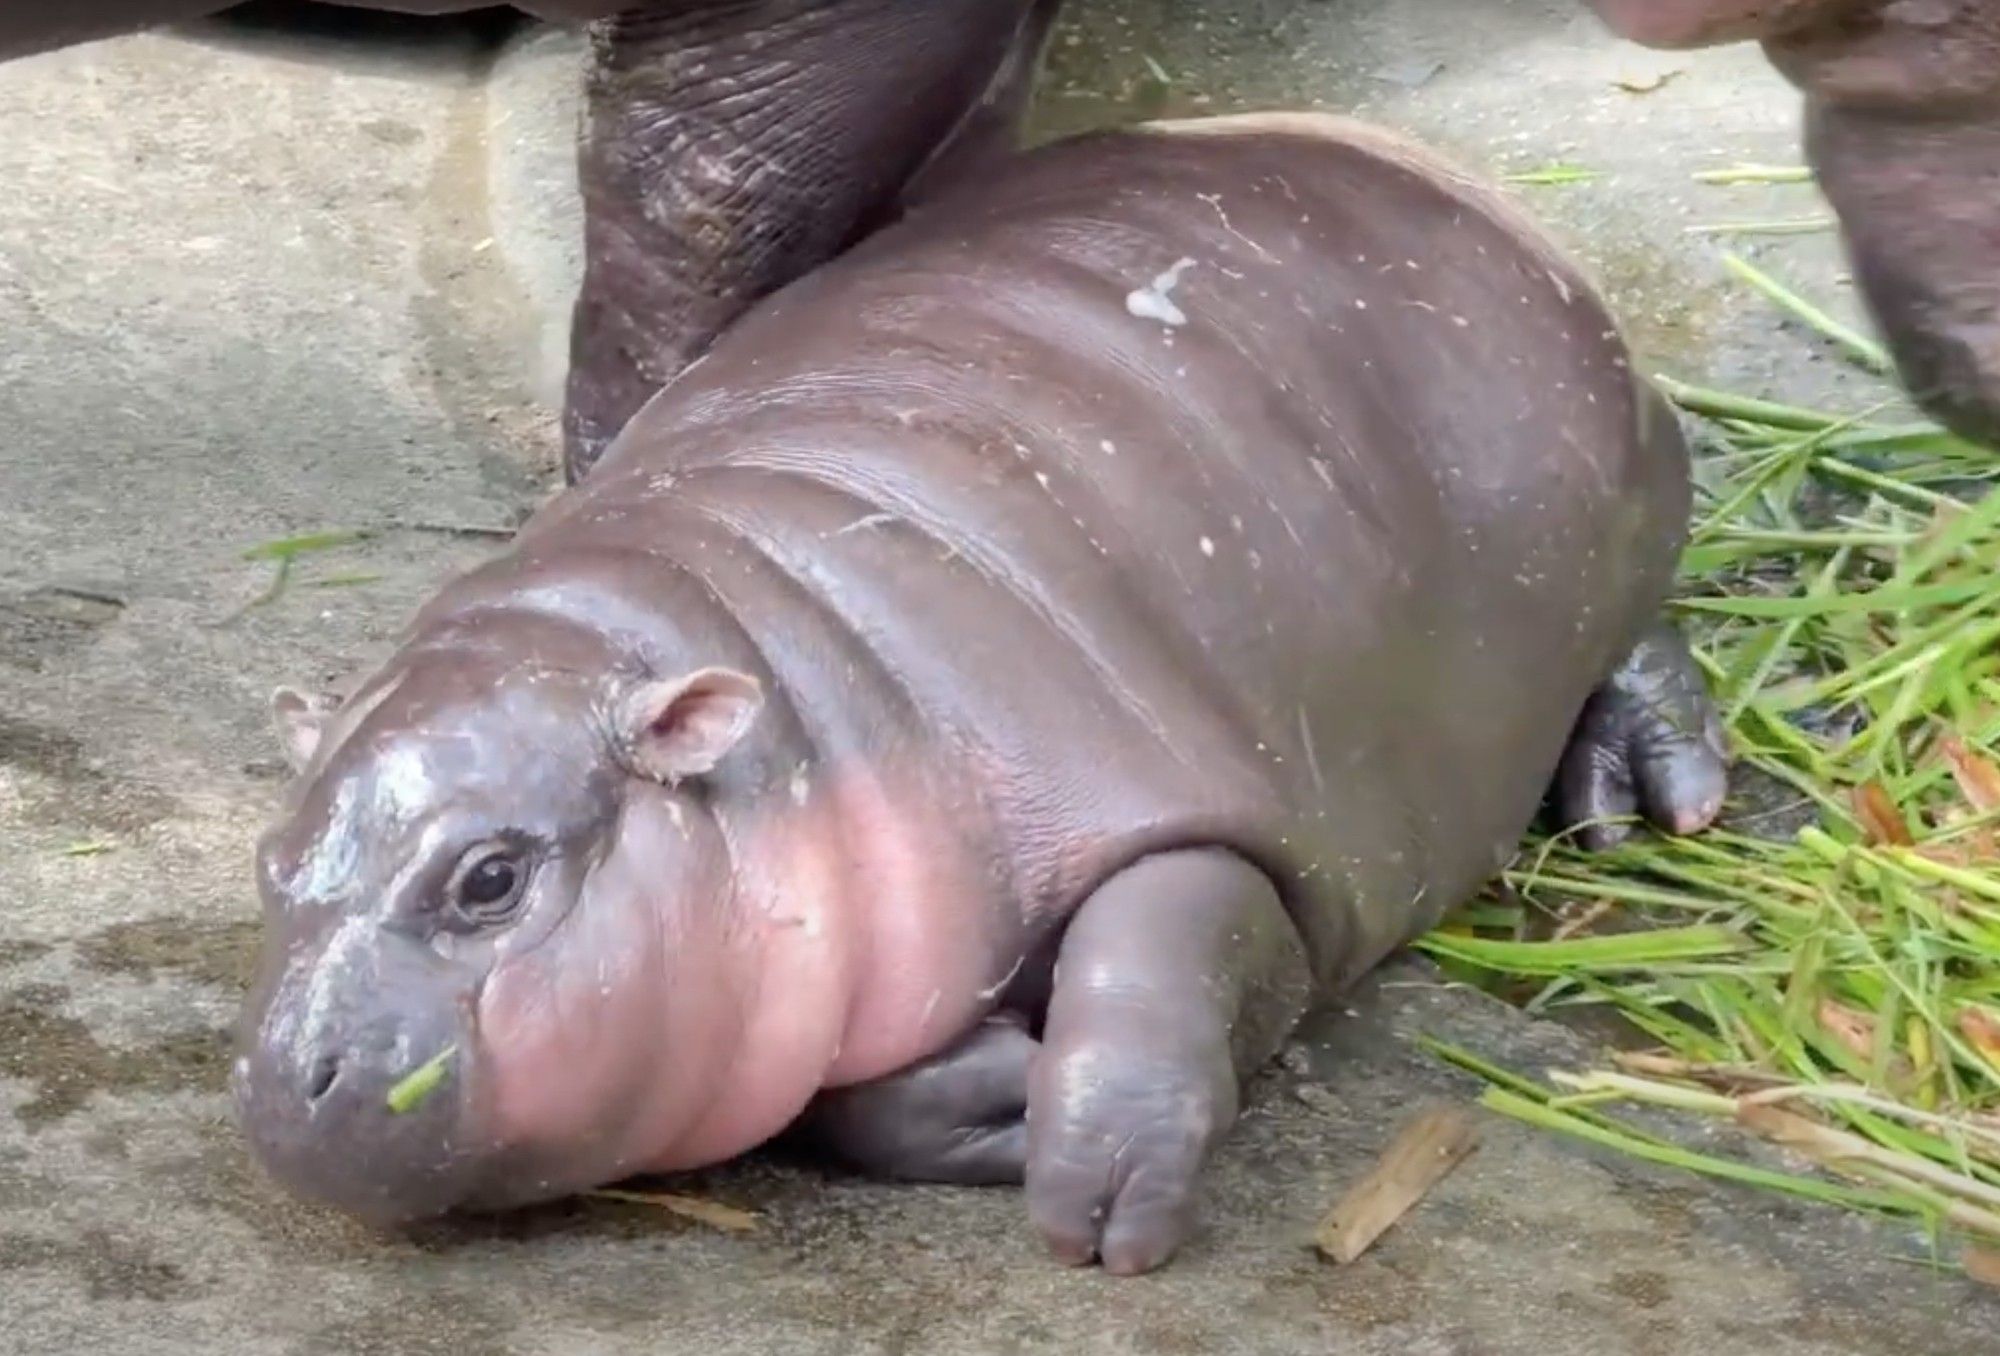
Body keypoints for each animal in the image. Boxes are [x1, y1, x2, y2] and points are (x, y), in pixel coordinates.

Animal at [236, 110, 1729, 1275]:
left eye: (488, 877)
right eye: (268, 863)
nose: (278, 1092)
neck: (775, 670)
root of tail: (1489, 200)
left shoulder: (1170, 793)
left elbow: (1164, 952)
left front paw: (1093, 1201)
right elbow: (859, 1104)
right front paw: (1008, 1087)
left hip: (1621, 527)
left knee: (1643, 643)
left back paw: (1645, 804)